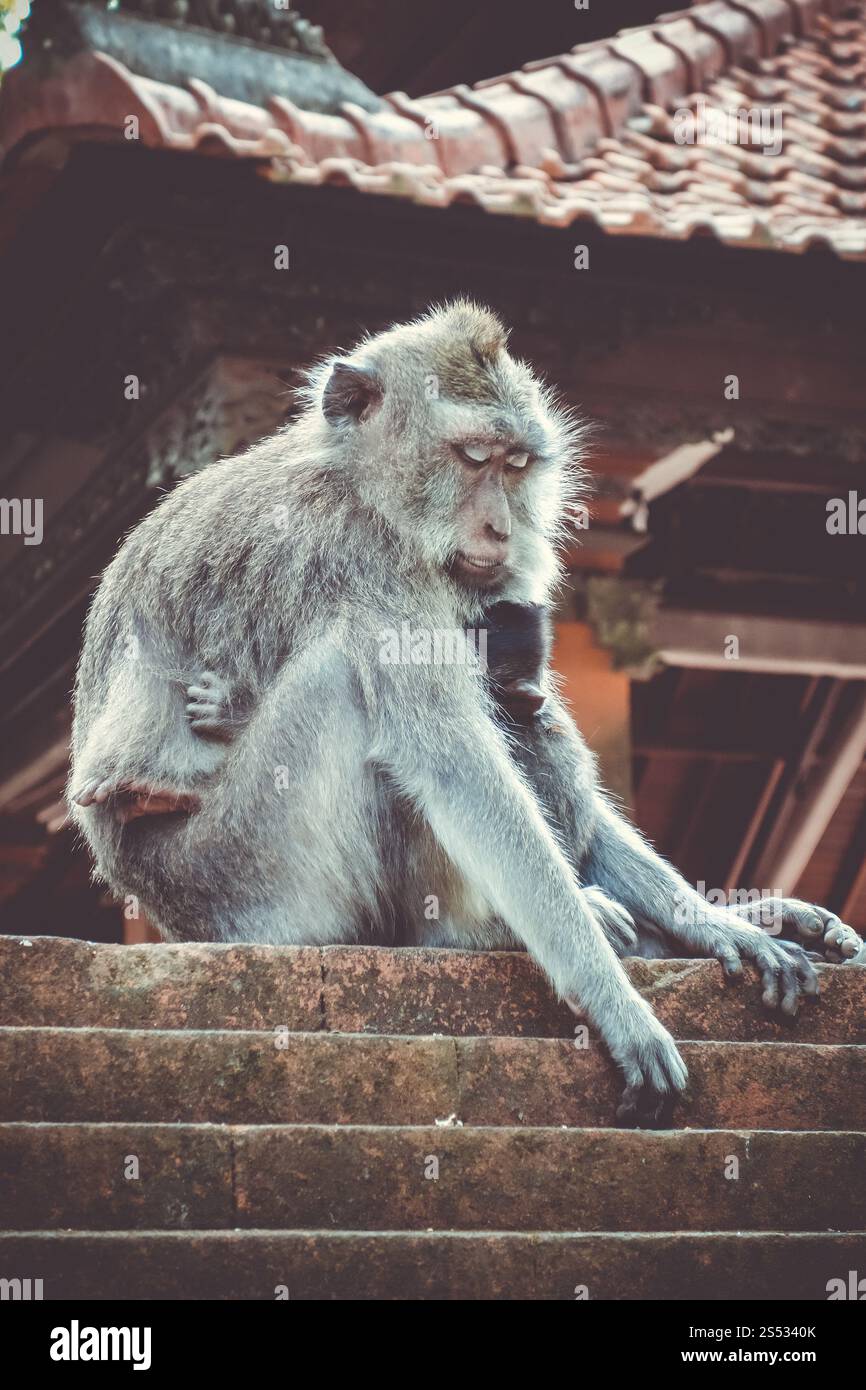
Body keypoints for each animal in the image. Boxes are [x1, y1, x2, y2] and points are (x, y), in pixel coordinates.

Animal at [68, 300, 863, 1127]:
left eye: (516, 466)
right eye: (474, 455)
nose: (500, 529)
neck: (363, 486)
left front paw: (715, 922)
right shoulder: (369, 565)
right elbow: (457, 768)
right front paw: (615, 1003)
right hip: (246, 879)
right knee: (350, 686)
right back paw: (469, 931)